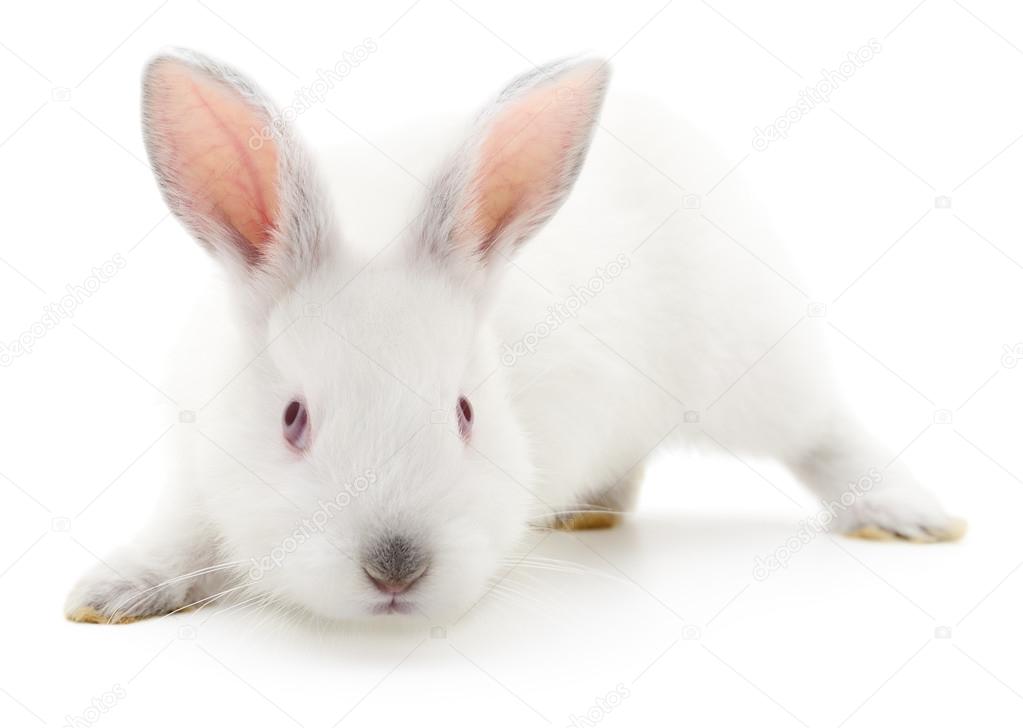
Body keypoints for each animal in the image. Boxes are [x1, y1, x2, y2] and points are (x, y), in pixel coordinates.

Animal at [65, 48, 964, 625]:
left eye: (466, 413)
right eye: (292, 421)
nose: (396, 567)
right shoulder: (193, 470)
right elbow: (178, 535)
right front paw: (113, 593)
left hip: (752, 367)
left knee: (823, 434)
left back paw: (910, 516)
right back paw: (592, 512)